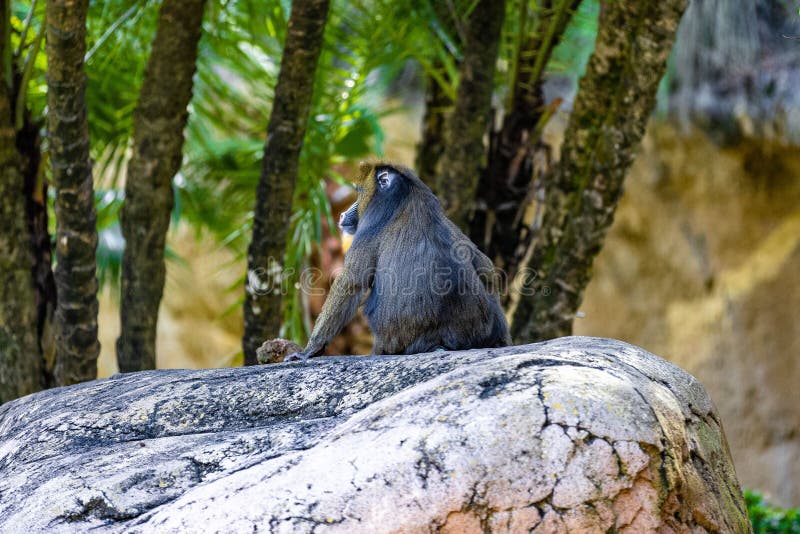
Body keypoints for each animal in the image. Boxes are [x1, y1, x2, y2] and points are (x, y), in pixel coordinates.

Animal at [285, 161, 510, 361]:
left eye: (359, 191)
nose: (343, 213)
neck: (406, 194)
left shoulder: (370, 227)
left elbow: (351, 282)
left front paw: (309, 350)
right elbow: (486, 266)